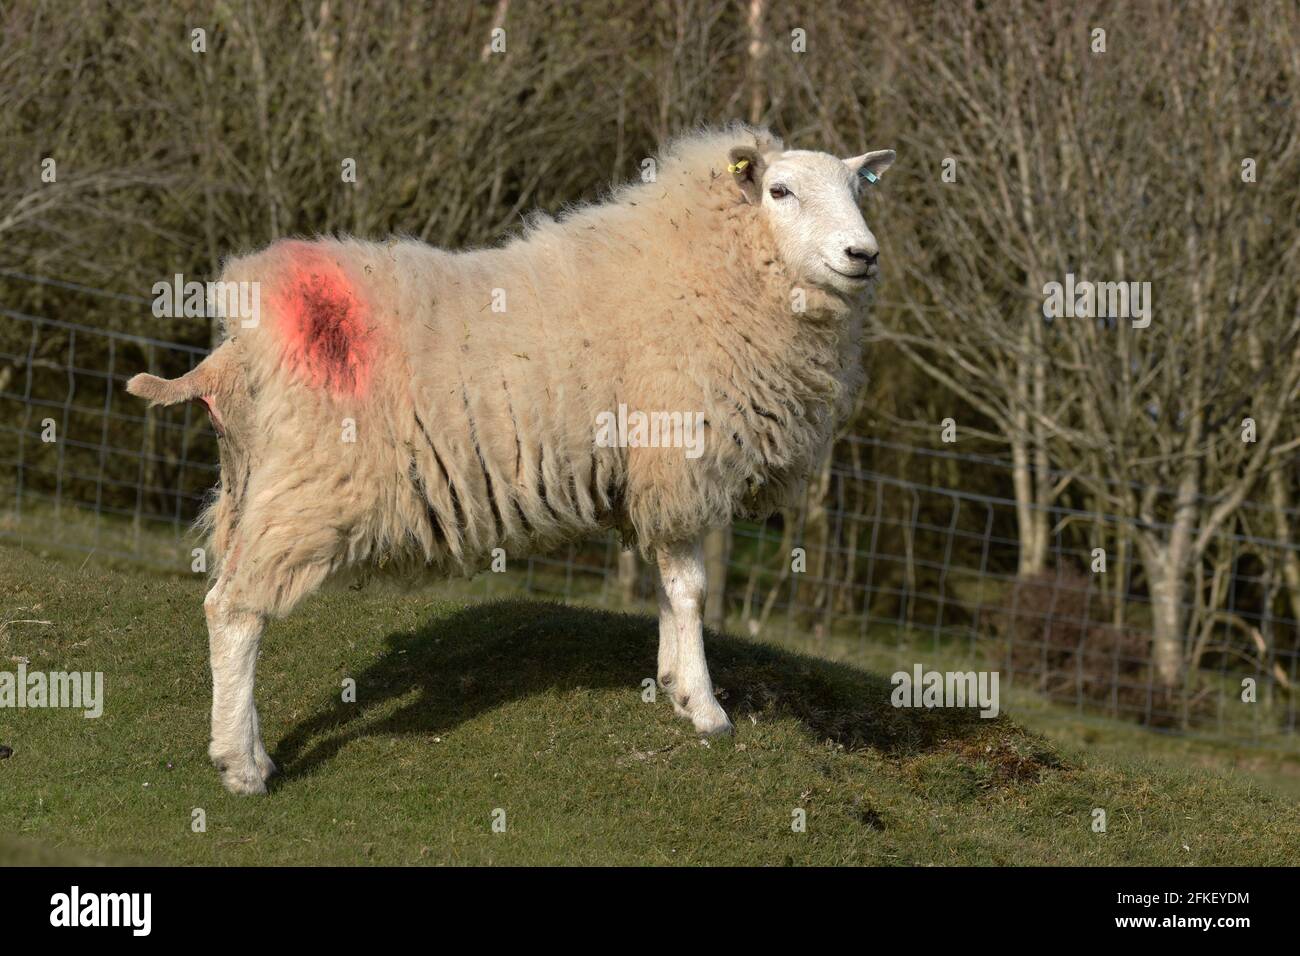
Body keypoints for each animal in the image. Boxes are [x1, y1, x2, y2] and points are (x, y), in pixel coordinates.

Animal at [127, 124, 895, 794]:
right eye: (780, 191)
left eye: (859, 188)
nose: (863, 254)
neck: (709, 269)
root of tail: (238, 337)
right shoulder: (677, 460)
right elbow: (691, 589)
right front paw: (706, 710)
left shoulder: (652, 478)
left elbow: (668, 585)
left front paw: (674, 684)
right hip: (308, 487)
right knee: (234, 610)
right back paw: (241, 766)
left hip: (249, 480)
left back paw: (251, 750)